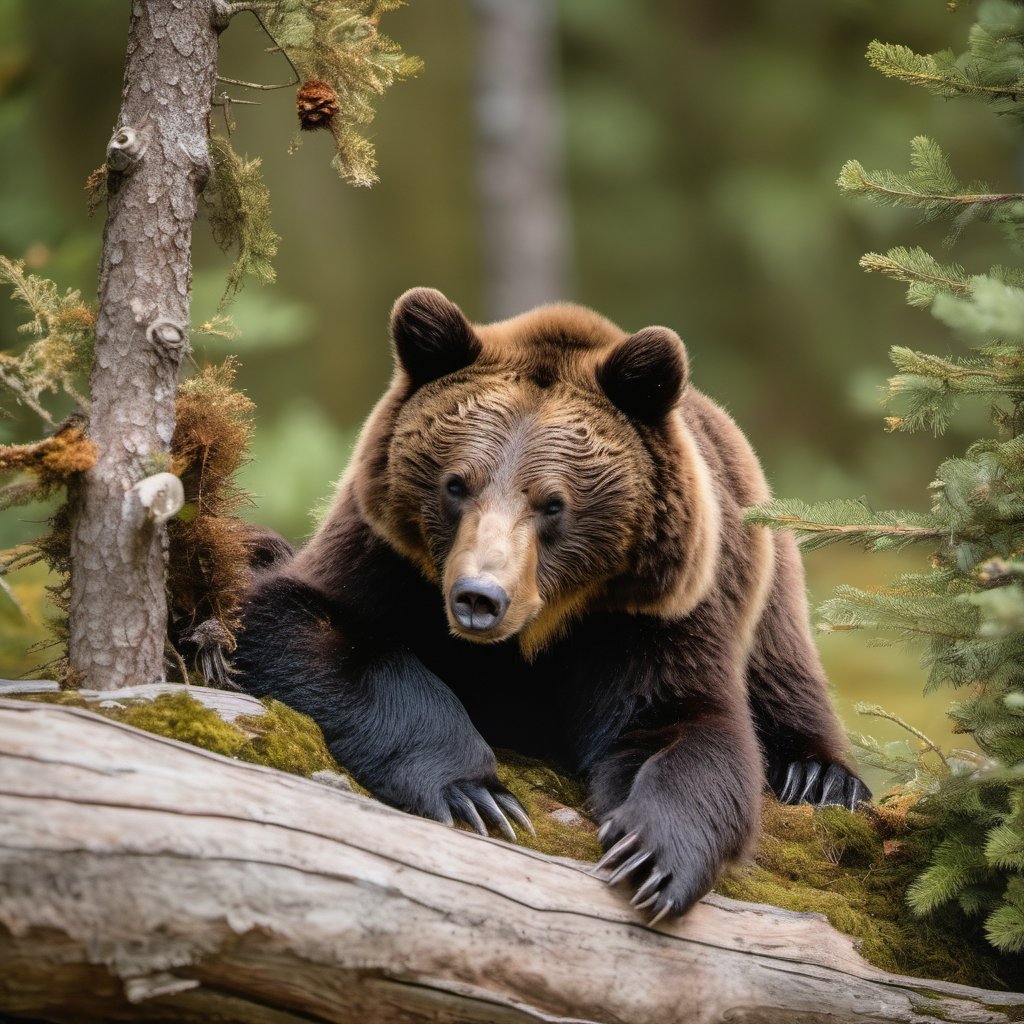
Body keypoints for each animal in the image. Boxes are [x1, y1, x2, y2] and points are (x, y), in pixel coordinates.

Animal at [235, 286, 868, 921]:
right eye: (455, 484)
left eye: (553, 503)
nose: (479, 597)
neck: (538, 627)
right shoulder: (387, 559)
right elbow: (309, 628)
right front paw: (478, 795)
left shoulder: (648, 617)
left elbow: (686, 724)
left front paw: (650, 854)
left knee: (783, 670)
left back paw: (820, 776)